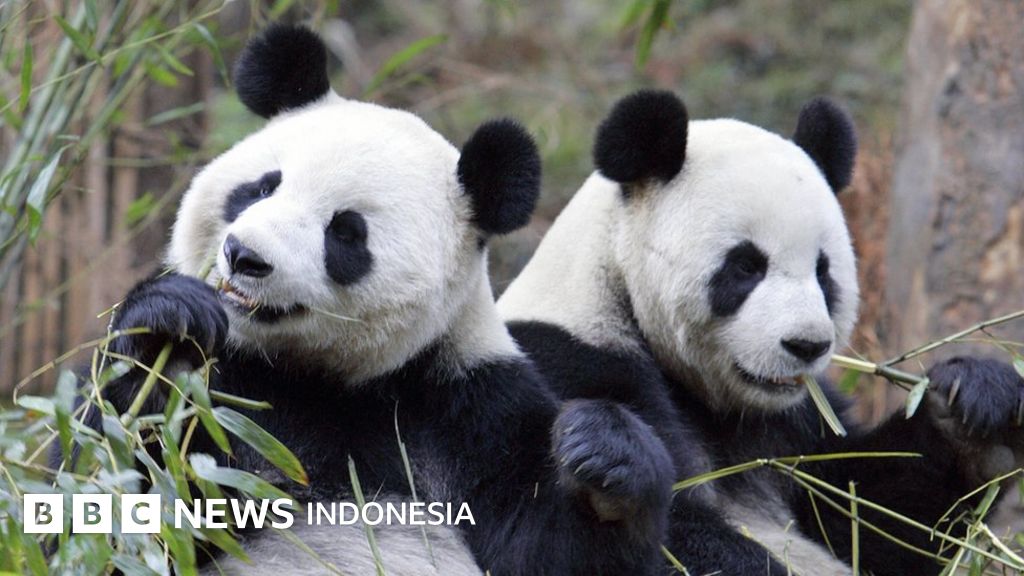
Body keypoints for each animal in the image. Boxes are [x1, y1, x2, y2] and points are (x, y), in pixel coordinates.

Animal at [76, 28, 679, 576]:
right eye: (263, 187)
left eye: (346, 232)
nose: (244, 256)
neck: (309, 375)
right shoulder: (229, 392)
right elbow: (106, 492)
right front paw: (165, 332)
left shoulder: (466, 408)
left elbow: (554, 546)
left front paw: (604, 457)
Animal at [499, 90, 1024, 576]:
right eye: (746, 266)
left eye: (823, 271)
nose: (806, 346)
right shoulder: (569, 361)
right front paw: (618, 466)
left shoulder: (798, 425)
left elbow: (870, 517)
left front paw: (975, 406)